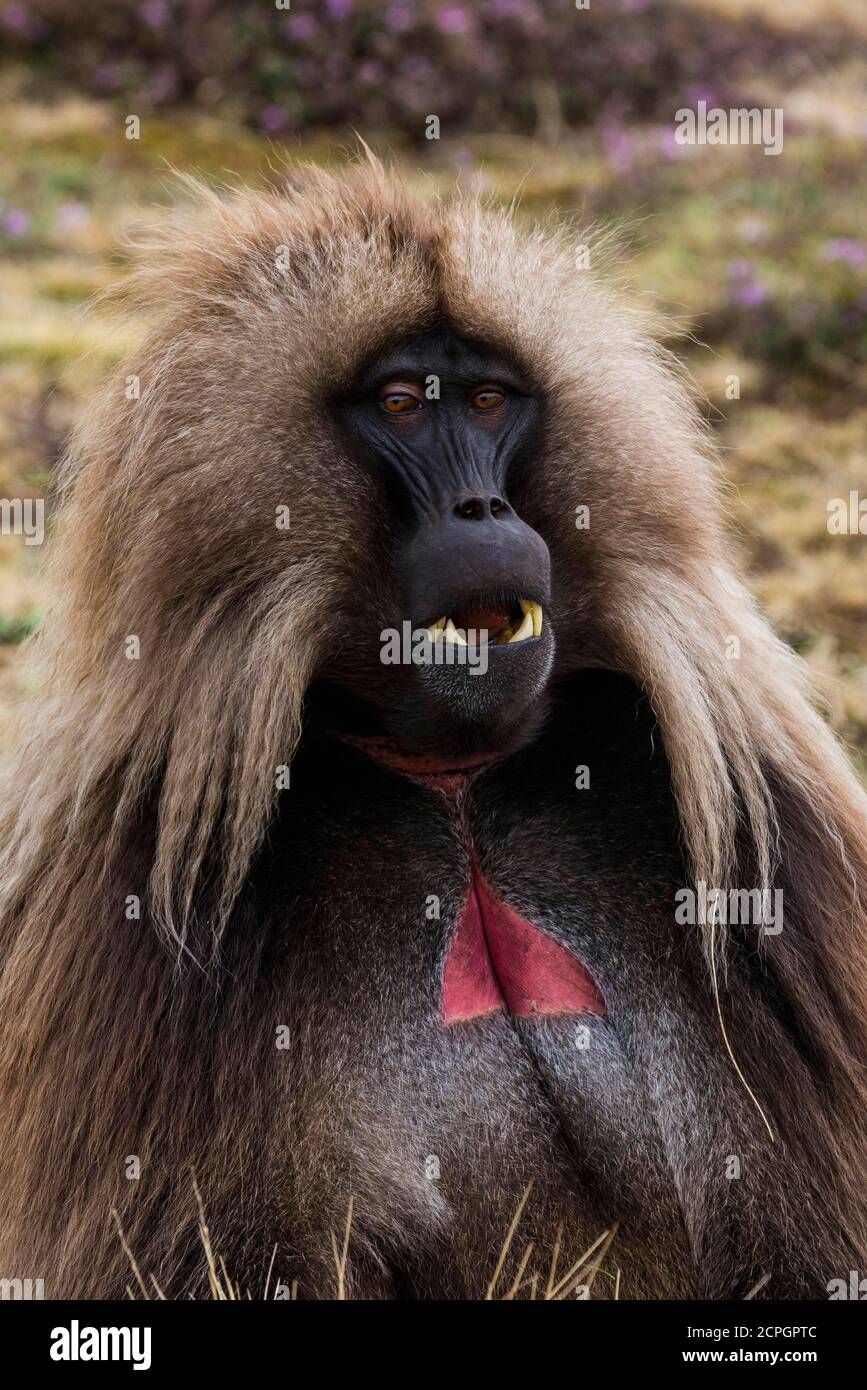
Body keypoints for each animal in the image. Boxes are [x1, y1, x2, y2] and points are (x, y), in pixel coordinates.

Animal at [0, 161, 865, 1300]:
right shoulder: (122, 889)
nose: (483, 512)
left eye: (491, 401)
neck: (453, 781)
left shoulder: (778, 834)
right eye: (403, 405)